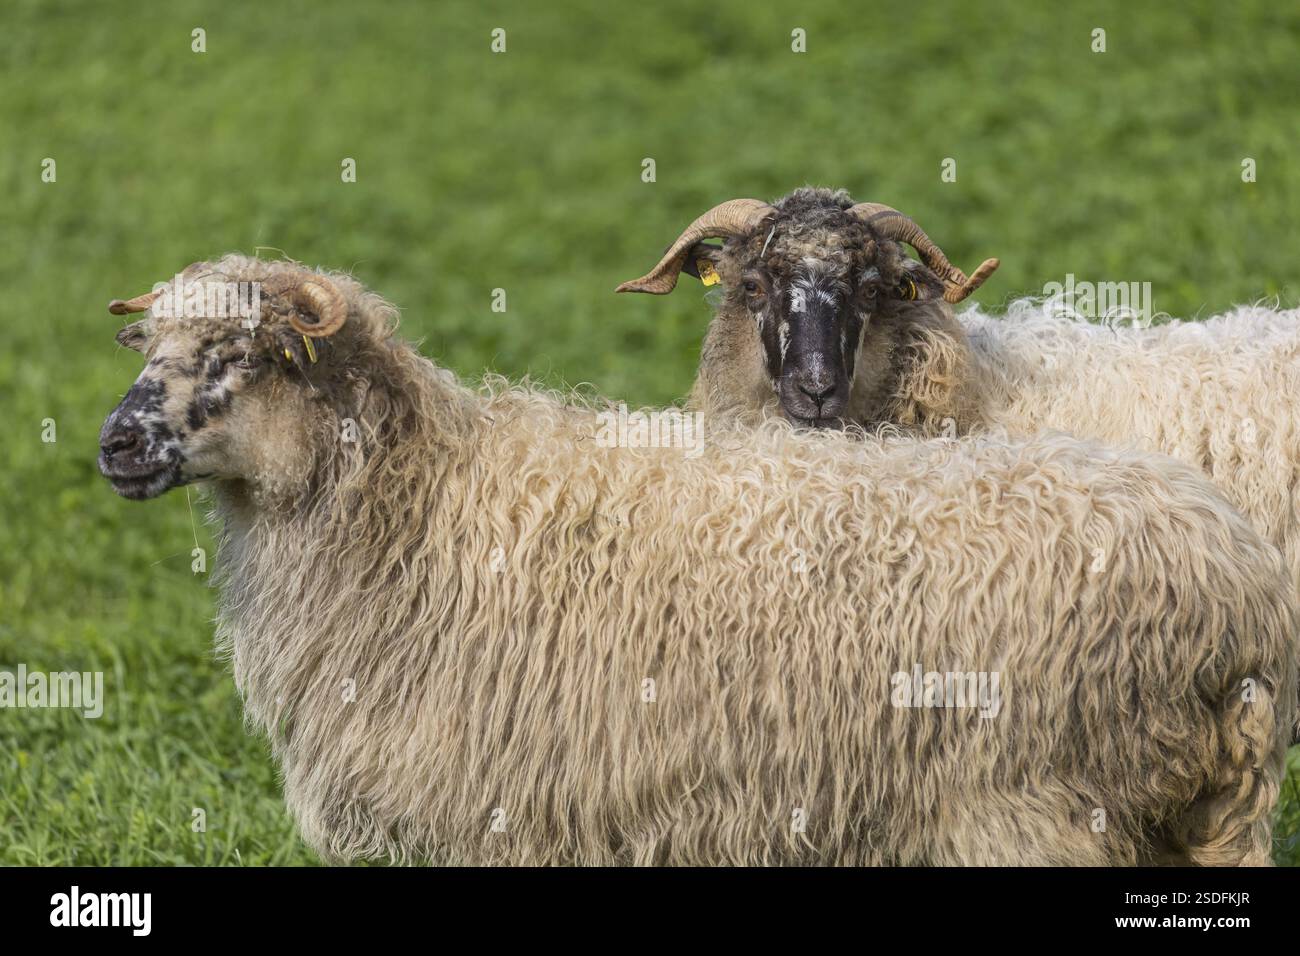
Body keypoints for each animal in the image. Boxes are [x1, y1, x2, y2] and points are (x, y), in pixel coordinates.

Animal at [98, 254, 1296, 866]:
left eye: (245, 353)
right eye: (151, 349)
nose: (113, 443)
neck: (426, 505)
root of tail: (1239, 592)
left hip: (1029, 810)